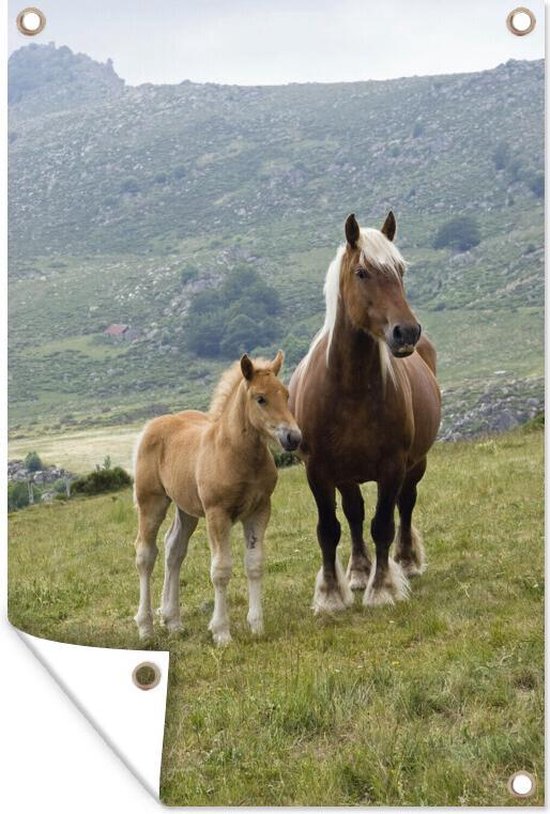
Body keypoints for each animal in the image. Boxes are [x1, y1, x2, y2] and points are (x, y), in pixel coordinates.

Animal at [133, 351, 302, 645]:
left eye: (286, 394)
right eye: (260, 398)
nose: (293, 437)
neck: (236, 452)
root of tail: (152, 425)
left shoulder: (260, 510)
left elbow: (254, 564)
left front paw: (256, 626)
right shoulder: (217, 514)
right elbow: (221, 570)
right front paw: (222, 632)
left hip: (186, 509)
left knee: (174, 549)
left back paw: (173, 621)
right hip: (151, 502)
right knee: (146, 554)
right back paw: (146, 628)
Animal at [288, 212, 441, 613]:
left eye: (400, 269)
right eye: (362, 272)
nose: (406, 332)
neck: (350, 388)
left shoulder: (393, 465)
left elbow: (383, 524)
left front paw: (383, 587)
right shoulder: (318, 469)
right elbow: (330, 529)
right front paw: (331, 594)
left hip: (415, 464)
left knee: (405, 504)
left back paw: (406, 561)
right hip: (346, 474)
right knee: (353, 513)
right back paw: (357, 571)